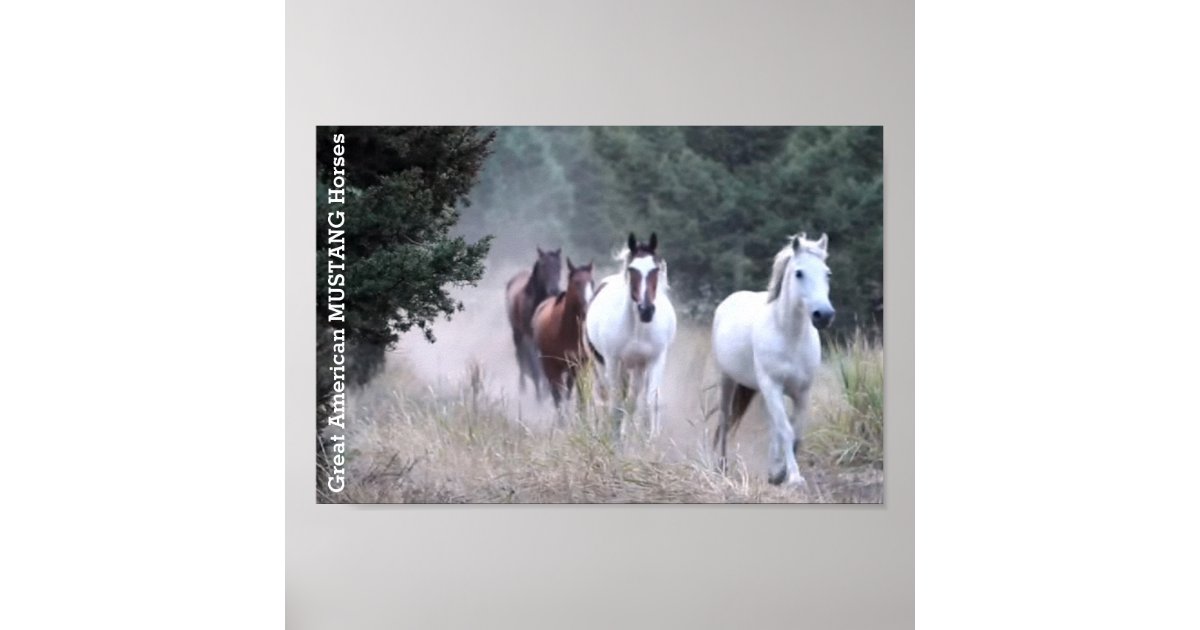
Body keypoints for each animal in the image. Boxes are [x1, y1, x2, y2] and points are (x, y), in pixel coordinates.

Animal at [505, 247, 562, 400]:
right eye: (543, 265)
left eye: (559, 267)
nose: (554, 290)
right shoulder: (530, 338)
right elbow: (535, 367)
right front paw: (539, 397)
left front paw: (546, 391)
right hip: (517, 333)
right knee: (520, 356)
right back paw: (523, 388)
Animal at [531, 259, 595, 408]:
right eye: (576, 282)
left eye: (592, 282)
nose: (588, 307)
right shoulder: (553, 369)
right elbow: (558, 398)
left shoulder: (581, 366)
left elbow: (581, 397)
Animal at [584, 232, 677, 438]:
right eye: (632, 269)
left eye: (655, 269)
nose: (646, 310)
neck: (637, 329)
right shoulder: (612, 361)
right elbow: (616, 405)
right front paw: (614, 440)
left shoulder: (654, 360)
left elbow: (648, 404)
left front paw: (648, 441)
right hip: (602, 364)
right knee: (604, 398)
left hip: (637, 368)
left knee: (631, 400)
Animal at [710, 232, 835, 487]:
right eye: (799, 273)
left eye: (827, 273)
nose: (824, 315)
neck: (790, 337)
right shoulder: (773, 386)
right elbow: (786, 430)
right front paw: (794, 478)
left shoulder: (802, 392)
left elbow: (795, 431)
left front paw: (779, 473)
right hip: (728, 379)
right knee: (726, 419)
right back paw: (722, 466)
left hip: (761, 392)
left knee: (771, 427)